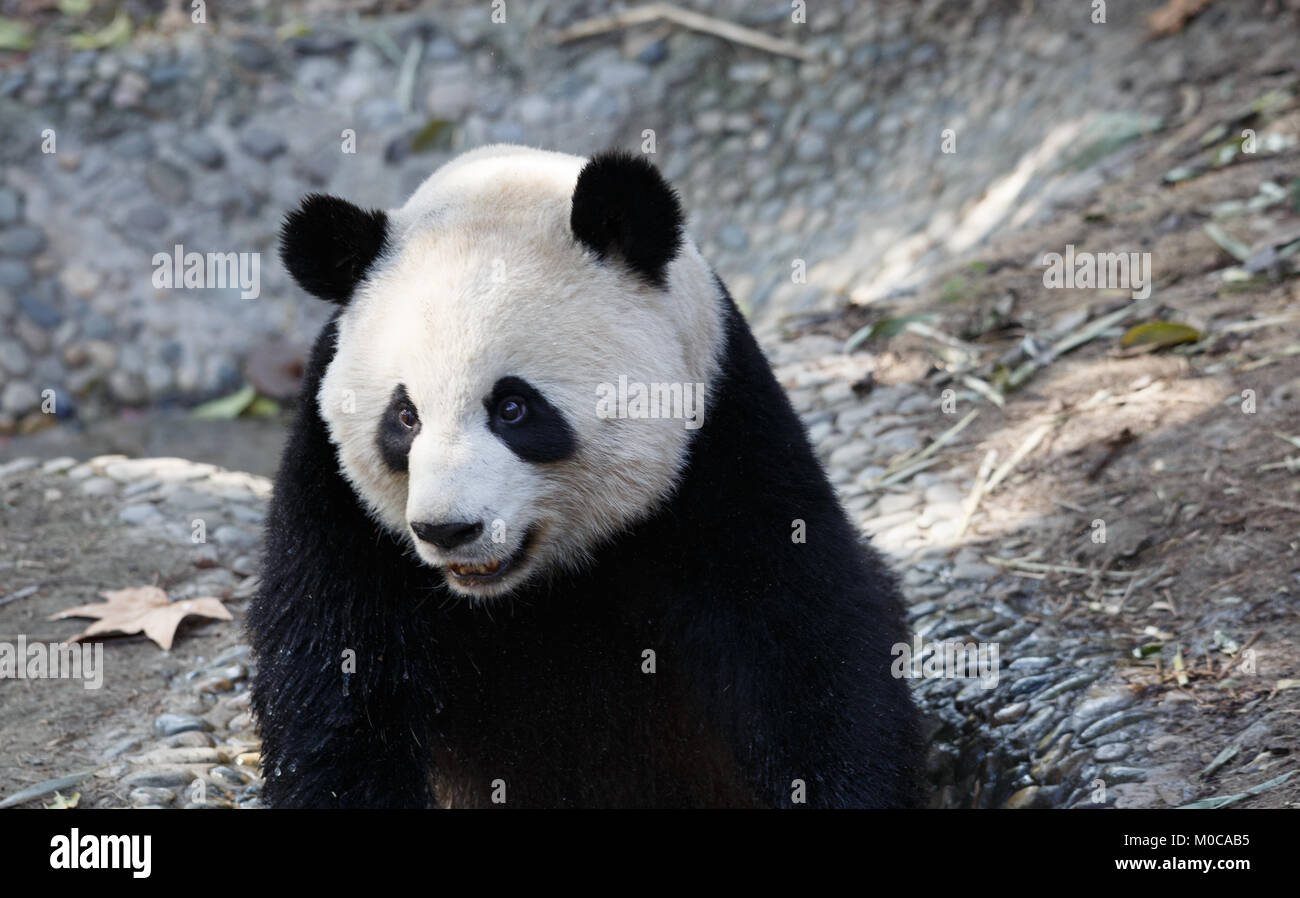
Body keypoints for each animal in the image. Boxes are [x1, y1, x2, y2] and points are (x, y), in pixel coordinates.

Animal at [248, 144, 921, 808]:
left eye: (513, 408)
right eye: (405, 417)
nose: (447, 530)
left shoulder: (725, 433)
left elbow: (799, 637)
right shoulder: (336, 493)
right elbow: (335, 670)